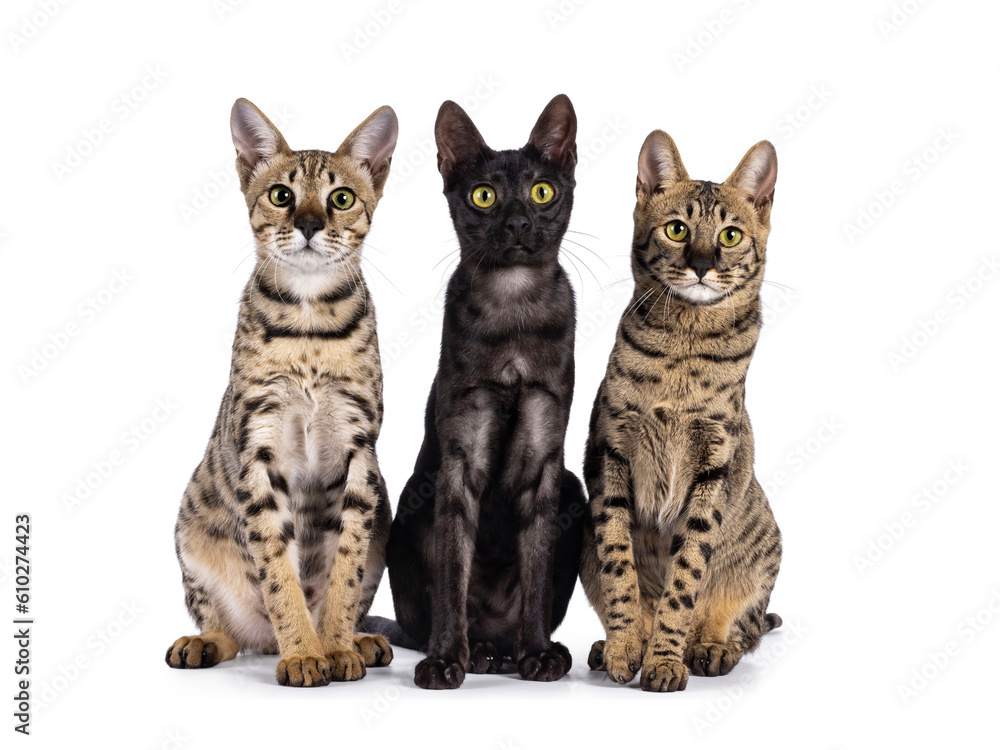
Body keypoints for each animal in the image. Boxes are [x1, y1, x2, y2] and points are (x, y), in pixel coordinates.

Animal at [166, 100, 396, 688]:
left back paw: (360, 641)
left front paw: (334, 647)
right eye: (280, 195)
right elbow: (276, 571)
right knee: (226, 626)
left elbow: (345, 568)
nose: (310, 224)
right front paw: (302, 653)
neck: (309, 324)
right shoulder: (258, 448)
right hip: (189, 531)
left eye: (341, 198)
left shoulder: (360, 452)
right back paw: (213, 642)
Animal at [380, 95, 584, 692]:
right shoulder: (460, 462)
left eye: (543, 191)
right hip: (410, 503)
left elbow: (536, 573)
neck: (512, 312)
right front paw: (447, 661)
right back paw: (479, 654)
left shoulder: (545, 463)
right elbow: (452, 574)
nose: (517, 222)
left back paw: (520, 651)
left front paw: (539, 654)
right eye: (483, 195)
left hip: (575, 489)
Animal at [584, 131, 784, 692]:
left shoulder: (714, 464)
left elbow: (687, 576)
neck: (684, 348)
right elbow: (620, 568)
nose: (700, 263)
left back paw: (710, 649)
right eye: (677, 229)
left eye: (731, 235)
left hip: (766, 545)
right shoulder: (611, 451)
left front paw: (666, 659)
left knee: (746, 625)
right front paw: (628, 647)